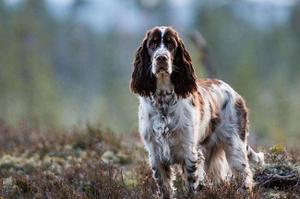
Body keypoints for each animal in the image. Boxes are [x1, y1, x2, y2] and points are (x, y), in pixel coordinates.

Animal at [129, 26, 262, 197]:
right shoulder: (156, 155)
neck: (163, 101)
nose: (161, 58)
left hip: (235, 147)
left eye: (171, 44)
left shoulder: (190, 154)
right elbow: (165, 188)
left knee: (245, 176)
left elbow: (191, 187)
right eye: (152, 44)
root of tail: (236, 94)